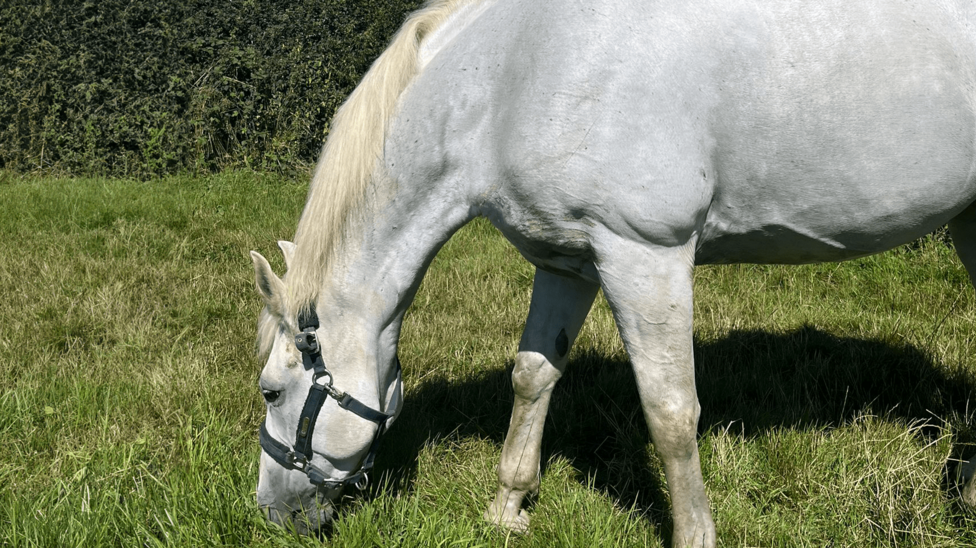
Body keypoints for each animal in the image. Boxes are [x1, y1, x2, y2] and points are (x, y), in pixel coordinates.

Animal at [248, 0, 976, 546]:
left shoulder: (644, 256)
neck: (512, 77)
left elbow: (670, 412)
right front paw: (507, 509)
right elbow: (533, 375)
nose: (269, 512)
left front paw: (694, 536)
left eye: (271, 392)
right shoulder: (566, 262)